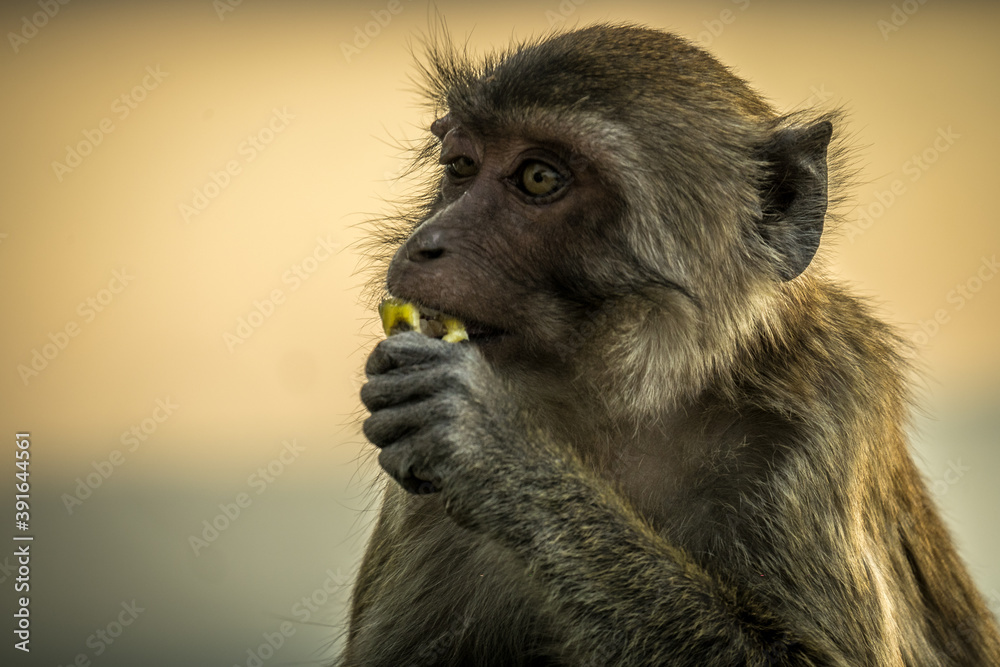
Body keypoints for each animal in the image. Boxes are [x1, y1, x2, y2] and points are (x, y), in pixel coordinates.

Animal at [340, 23, 1000, 666]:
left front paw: (492, 445)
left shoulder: (828, 410)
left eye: (539, 177)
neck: (628, 405)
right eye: (460, 166)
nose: (427, 243)